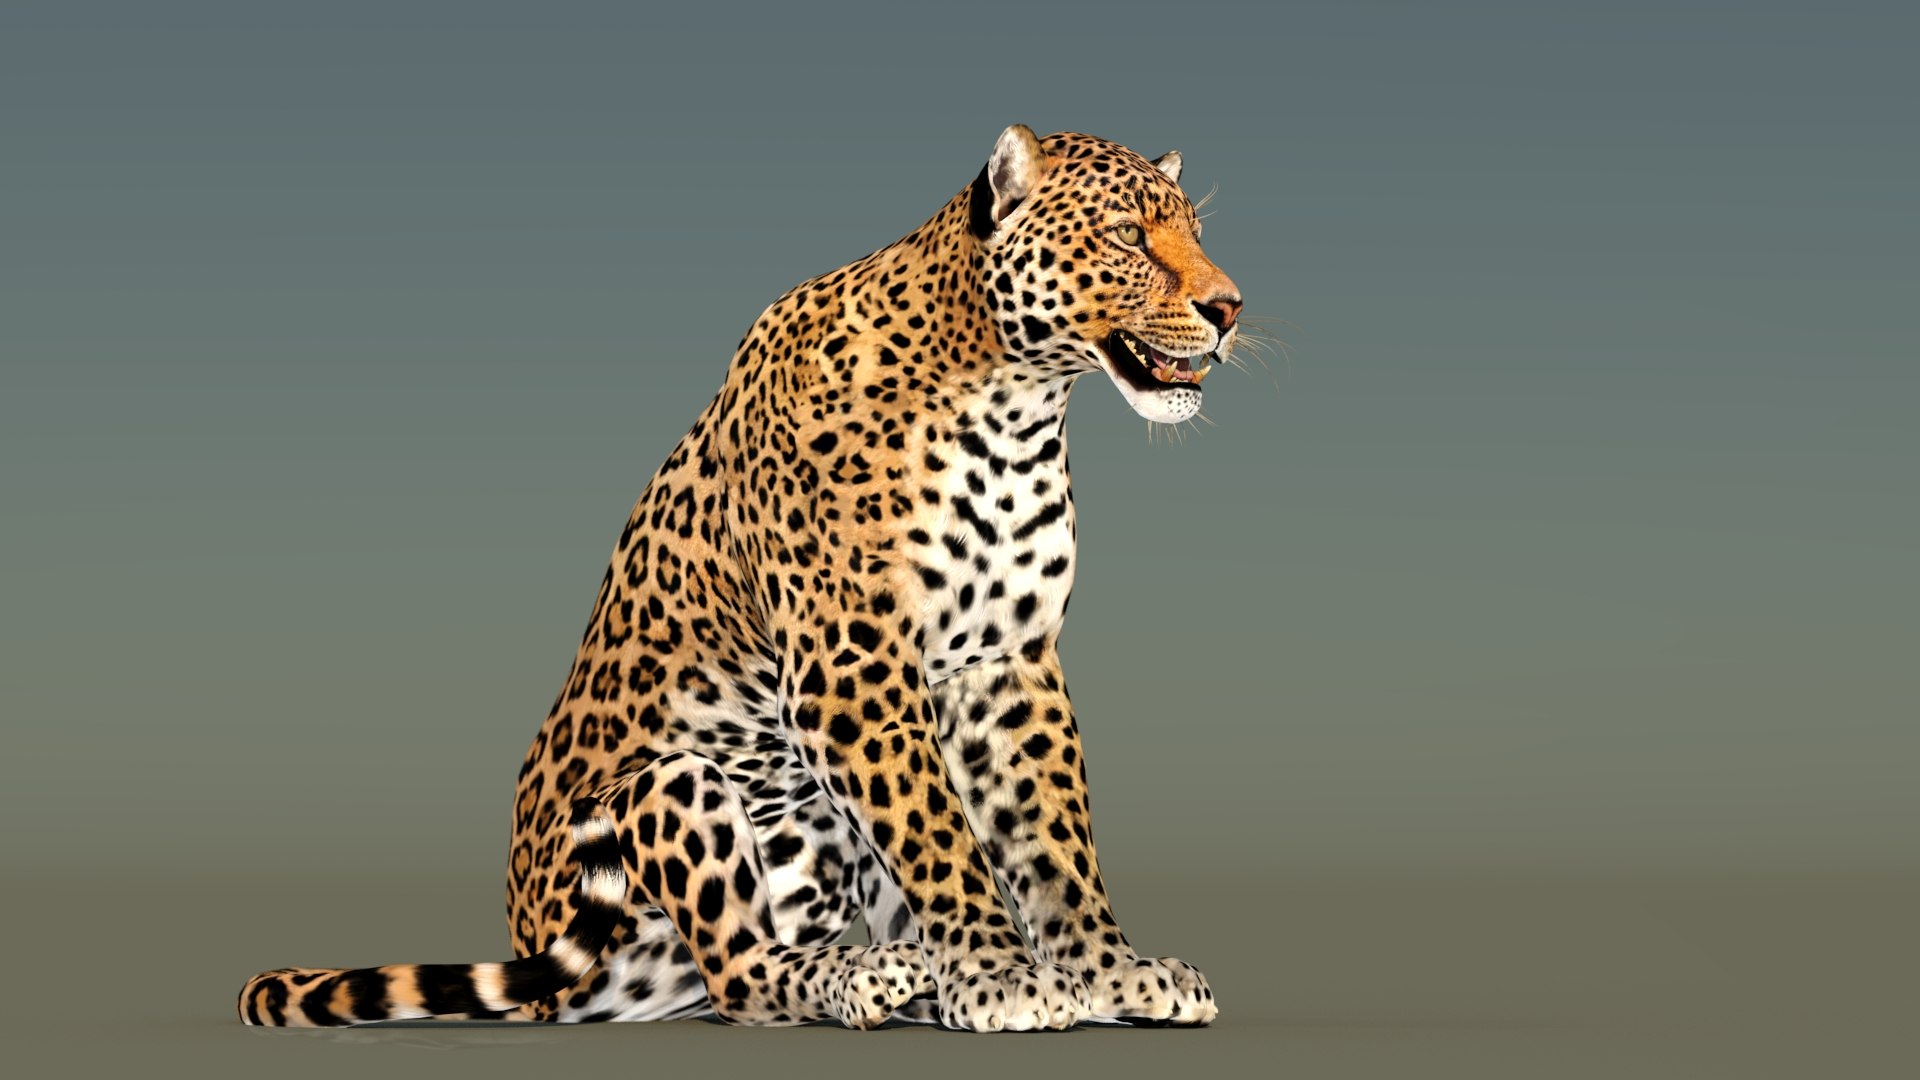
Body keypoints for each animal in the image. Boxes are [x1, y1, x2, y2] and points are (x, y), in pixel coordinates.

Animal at [239, 125, 1245, 1033]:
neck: (1015, 404)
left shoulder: (1006, 663)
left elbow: (1053, 840)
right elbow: (940, 832)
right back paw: (868, 978)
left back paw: (903, 970)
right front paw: (999, 976)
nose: (1230, 307)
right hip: (675, 783)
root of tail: (539, 956)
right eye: (1127, 235)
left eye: (1195, 232)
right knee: (738, 975)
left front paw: (1112, 975)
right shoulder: (853, 670)